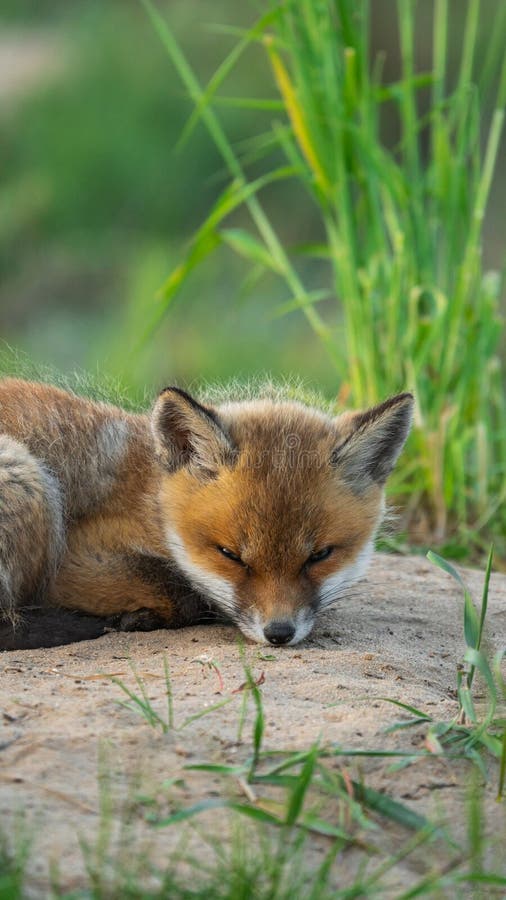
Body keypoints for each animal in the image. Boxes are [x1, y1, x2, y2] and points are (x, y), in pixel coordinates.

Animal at [0, 377, 413, 645]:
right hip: (27, 475)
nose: (279, 634)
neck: (153, 500)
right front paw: (136, 617)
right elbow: (178, 589)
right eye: (230, 555)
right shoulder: (77, 559)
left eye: (320, 556)